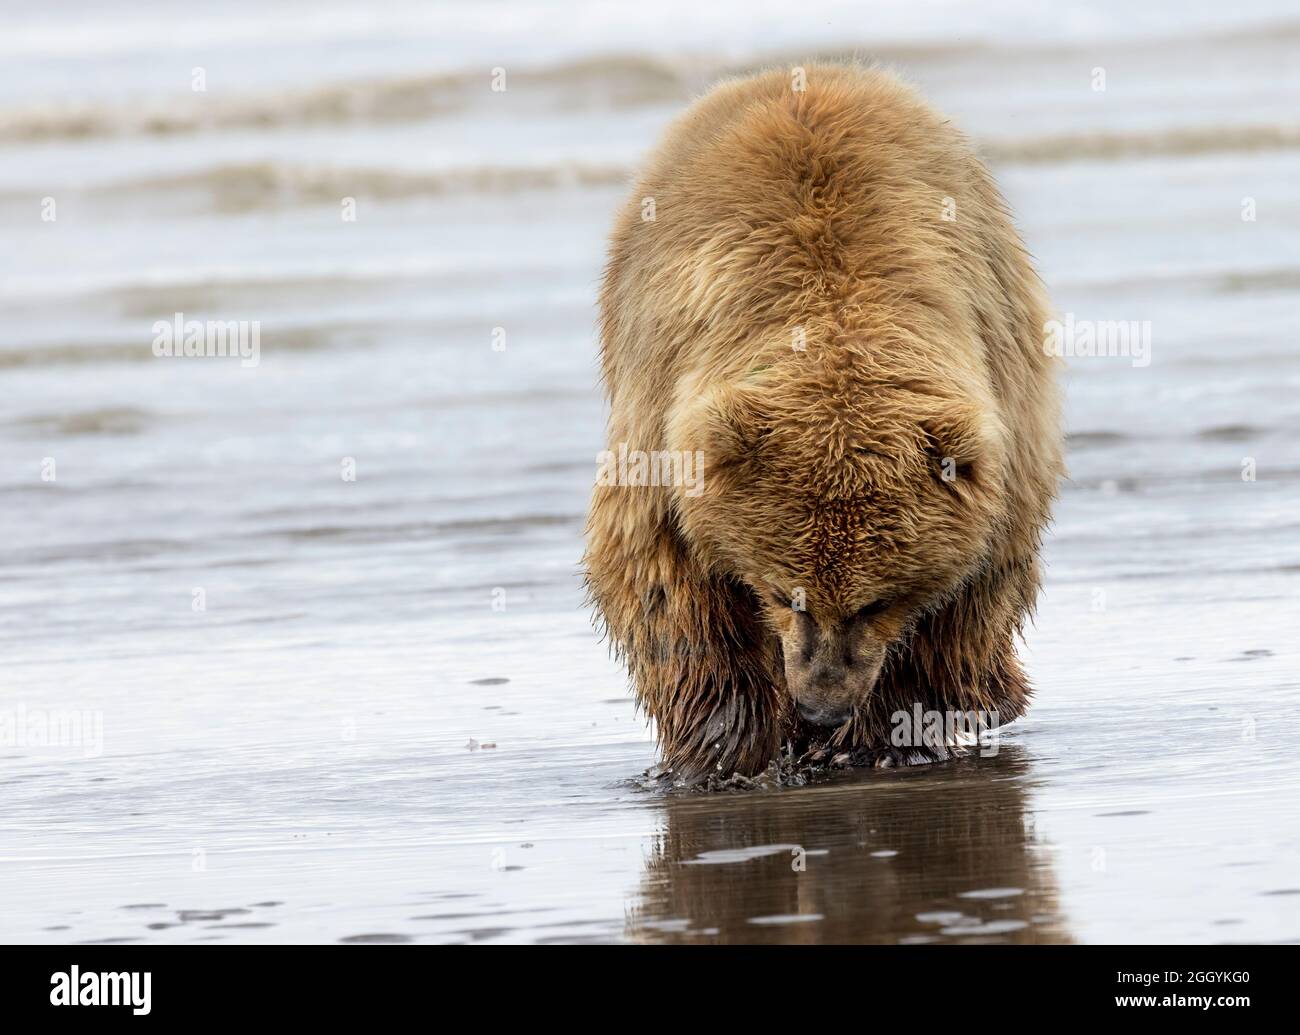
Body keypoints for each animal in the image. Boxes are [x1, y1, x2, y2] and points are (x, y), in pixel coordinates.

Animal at [584, 63, 1063, 783]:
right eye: (786, 594)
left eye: (877, 600)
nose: (821, 705)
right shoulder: (665, 417)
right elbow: (662, 579)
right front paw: (725, 746)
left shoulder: (1002, 411)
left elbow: (969, 592)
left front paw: (890, 733)